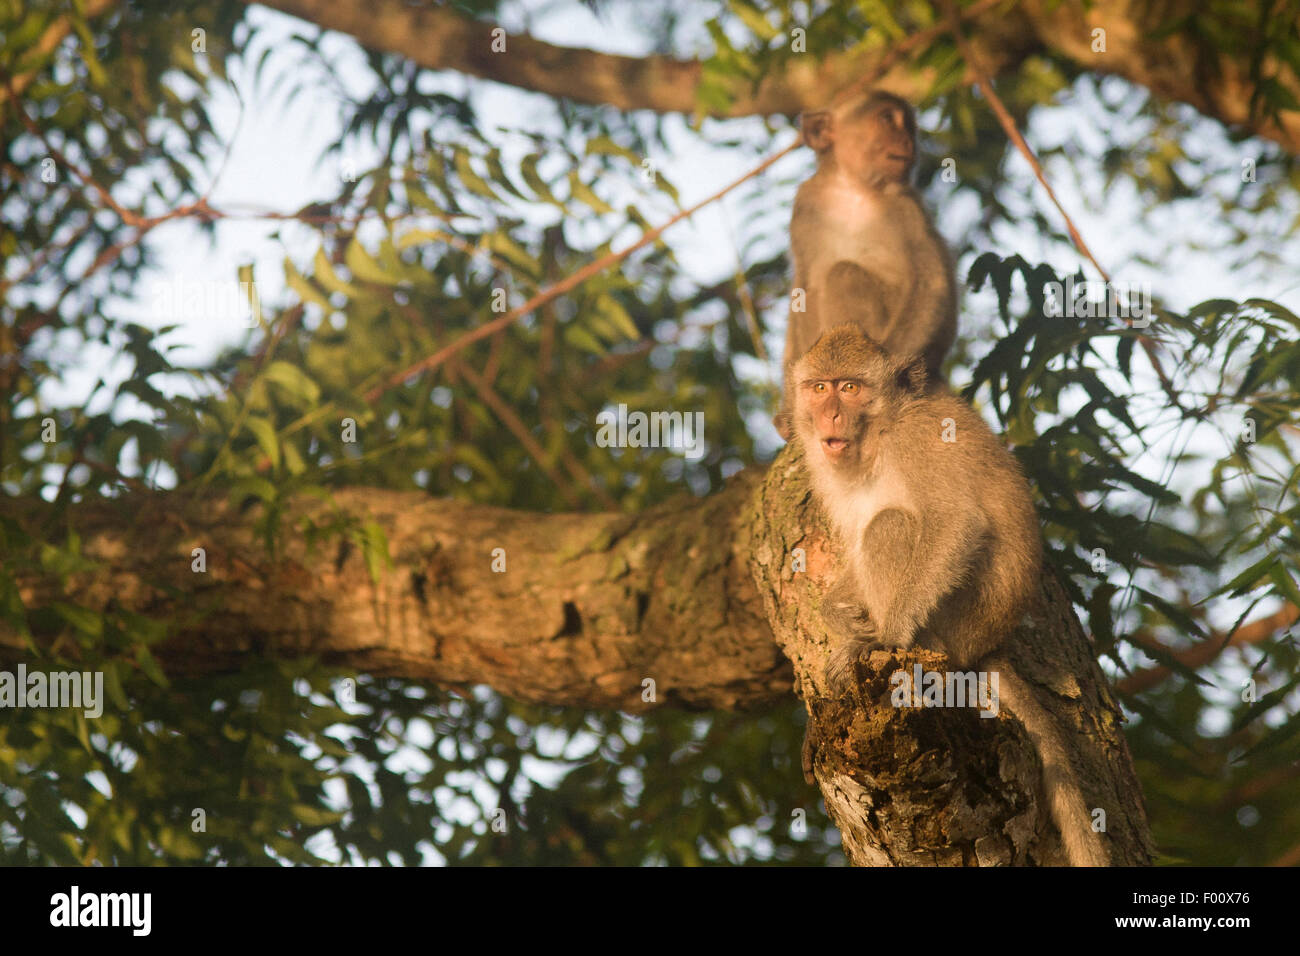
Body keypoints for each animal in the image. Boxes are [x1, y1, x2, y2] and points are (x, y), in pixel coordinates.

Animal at [775, 90, 957, 439]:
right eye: (887, 119)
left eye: (907, 125)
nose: (907, 139)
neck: (852, 187)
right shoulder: (806, 203)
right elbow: (801, 287)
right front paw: (789, 408)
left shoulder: (904, 207)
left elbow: (930, 283)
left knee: (843, 274)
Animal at [789, 324, 1109, 867]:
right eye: (819, 388)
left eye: (849, 388)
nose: (829, 415)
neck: (879, 434)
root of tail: (985, 643)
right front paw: (836, 615)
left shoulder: (915, 442)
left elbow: (956, 522)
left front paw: (883, 637)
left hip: (951, 626)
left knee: (888, 526)